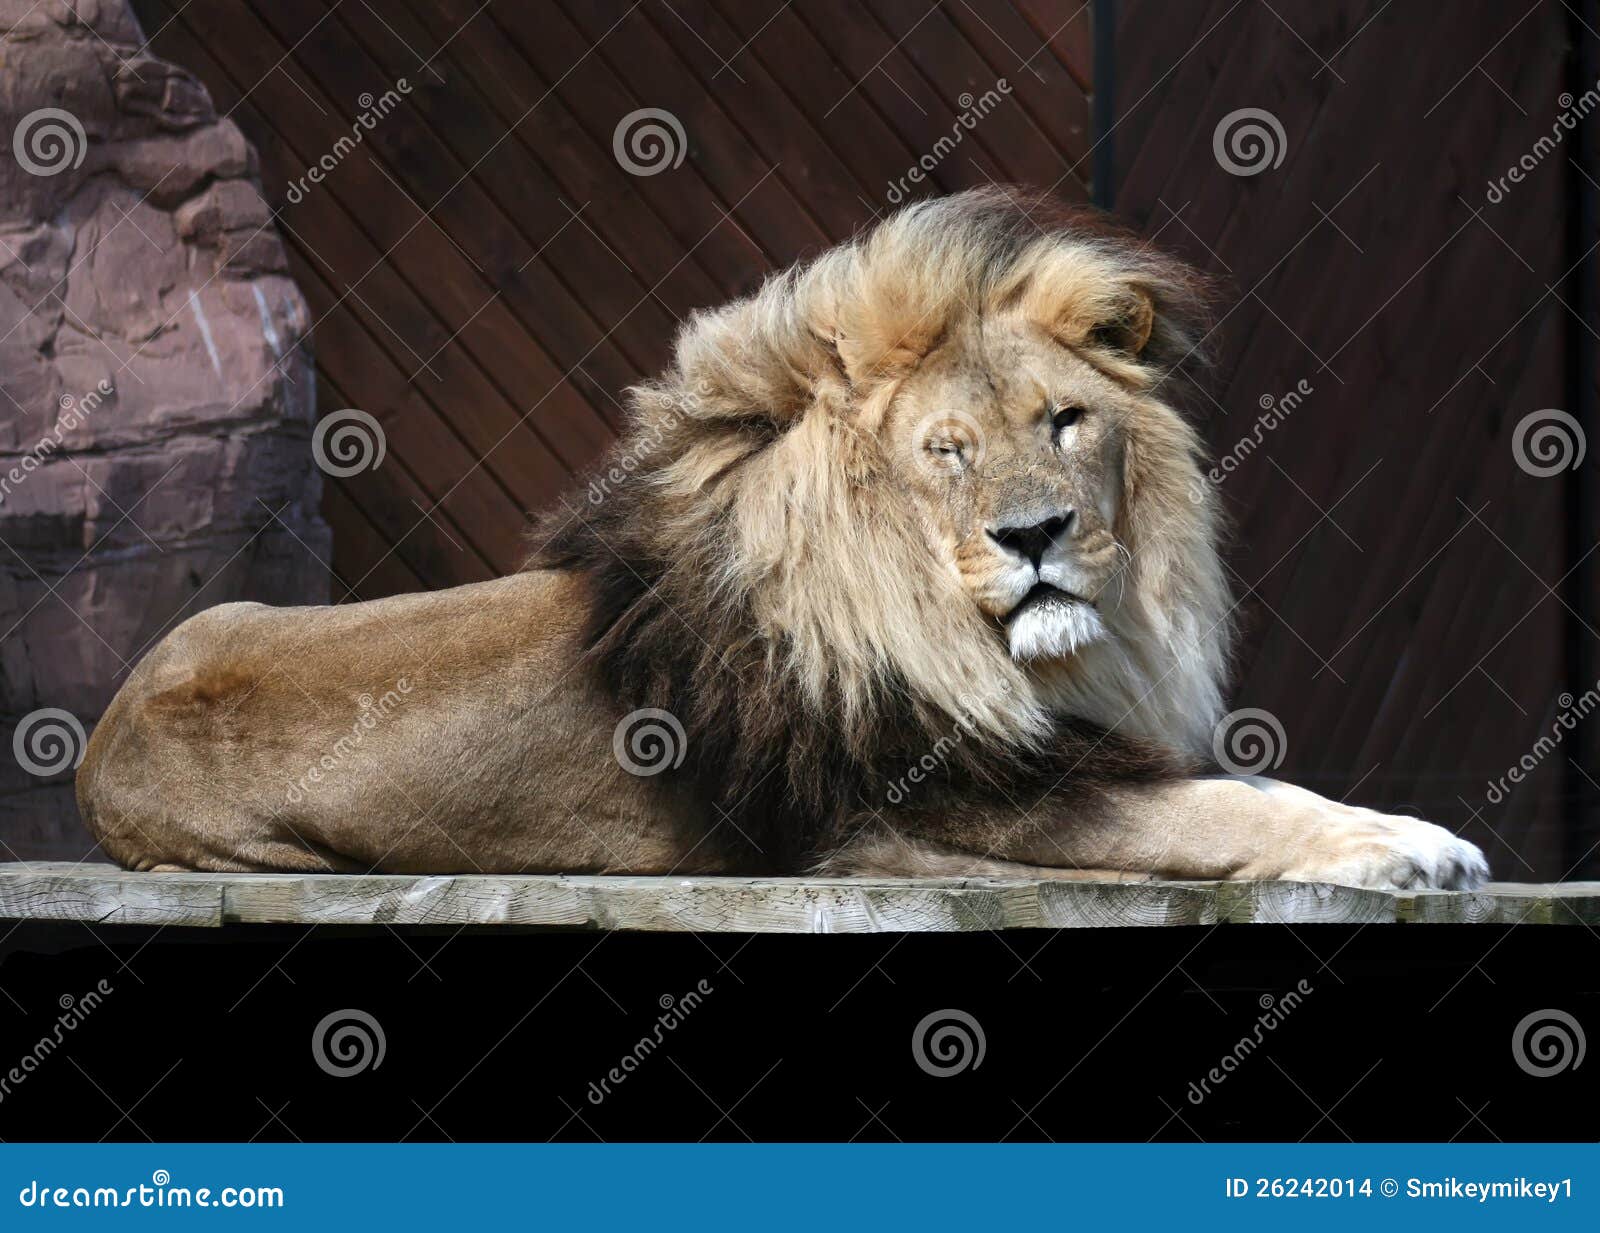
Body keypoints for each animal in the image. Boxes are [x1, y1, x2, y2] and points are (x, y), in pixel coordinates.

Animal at [76, 187, 1488, 889]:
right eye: (947, 452)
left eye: (1066, 420)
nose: (1036, 534)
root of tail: (99, 736)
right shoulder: (960, 814)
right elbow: (1219, 812)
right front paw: (1413, 851)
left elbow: (1261, 786)